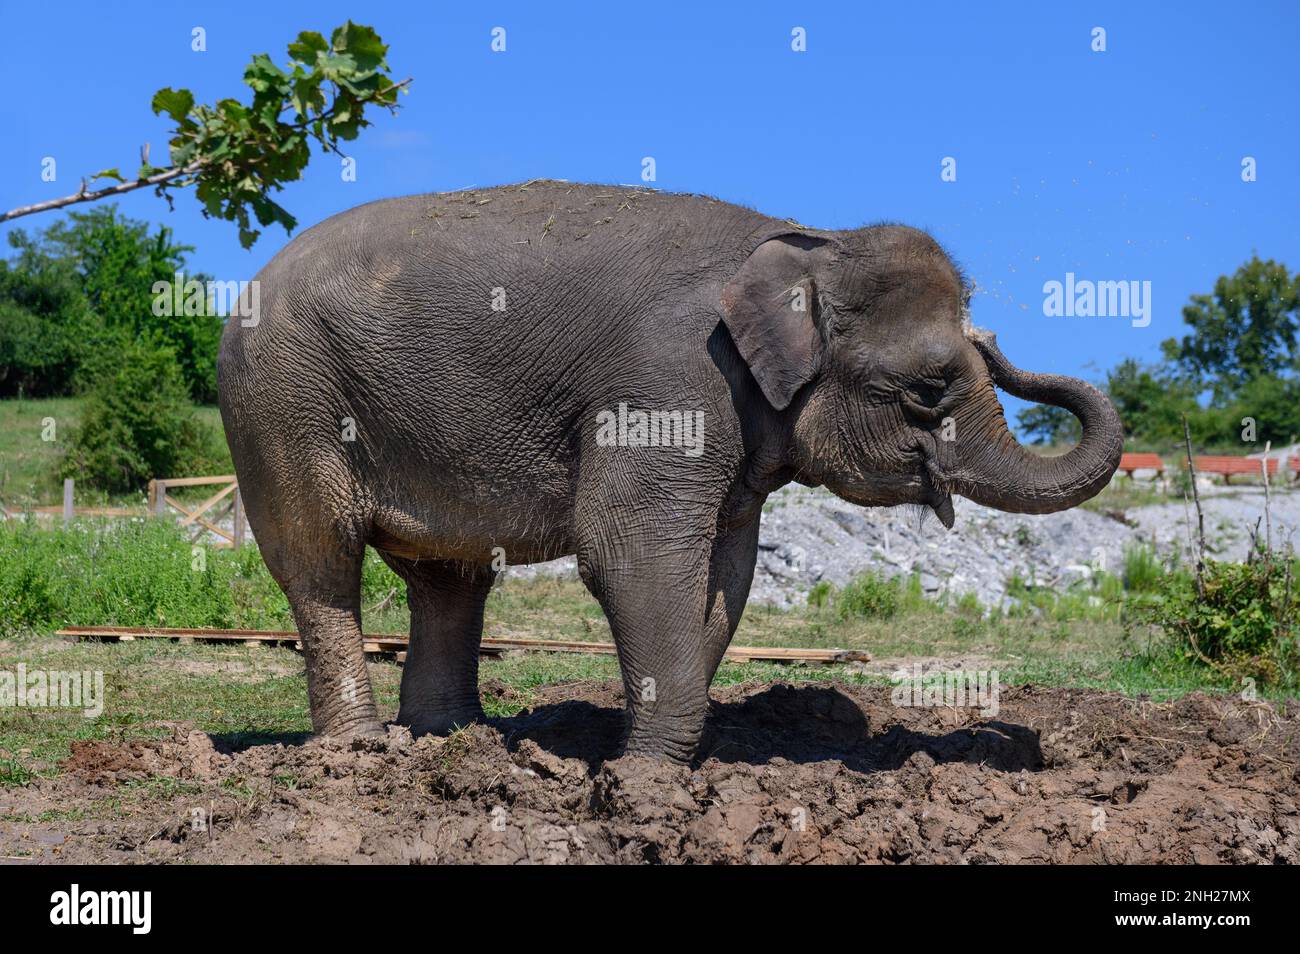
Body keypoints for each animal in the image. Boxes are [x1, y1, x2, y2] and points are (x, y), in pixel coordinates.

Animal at [217, 180, 1122, 762]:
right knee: (321, 561)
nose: (997, 338)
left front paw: (665, 762)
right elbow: (630, 551)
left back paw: (454, 740)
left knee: (449, 577)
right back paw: (360, 753)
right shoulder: (668, 380)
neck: (808, 241)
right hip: (283, 402)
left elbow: (727, 571)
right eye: (929, 389)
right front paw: (645, 778)